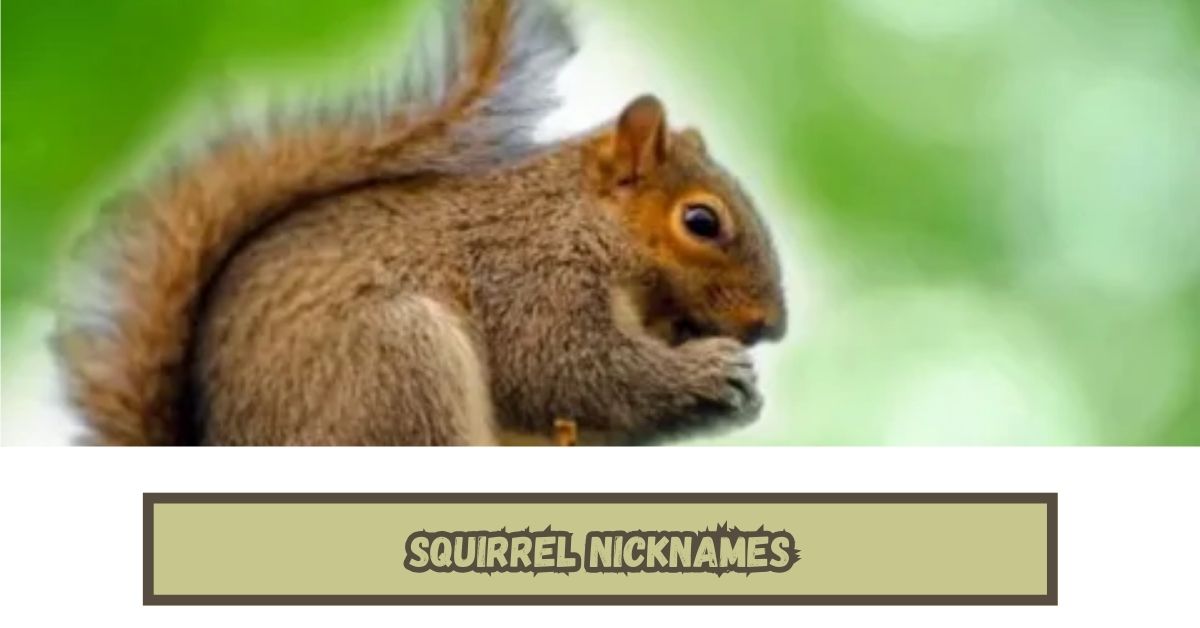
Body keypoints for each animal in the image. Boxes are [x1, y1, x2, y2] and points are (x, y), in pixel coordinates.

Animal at [52, 0, 786, 446]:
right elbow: (568, 369)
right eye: (701, 221)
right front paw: (713, 374)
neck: (580, 220)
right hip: (399, 362)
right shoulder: (531, 277)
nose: (768, 328)